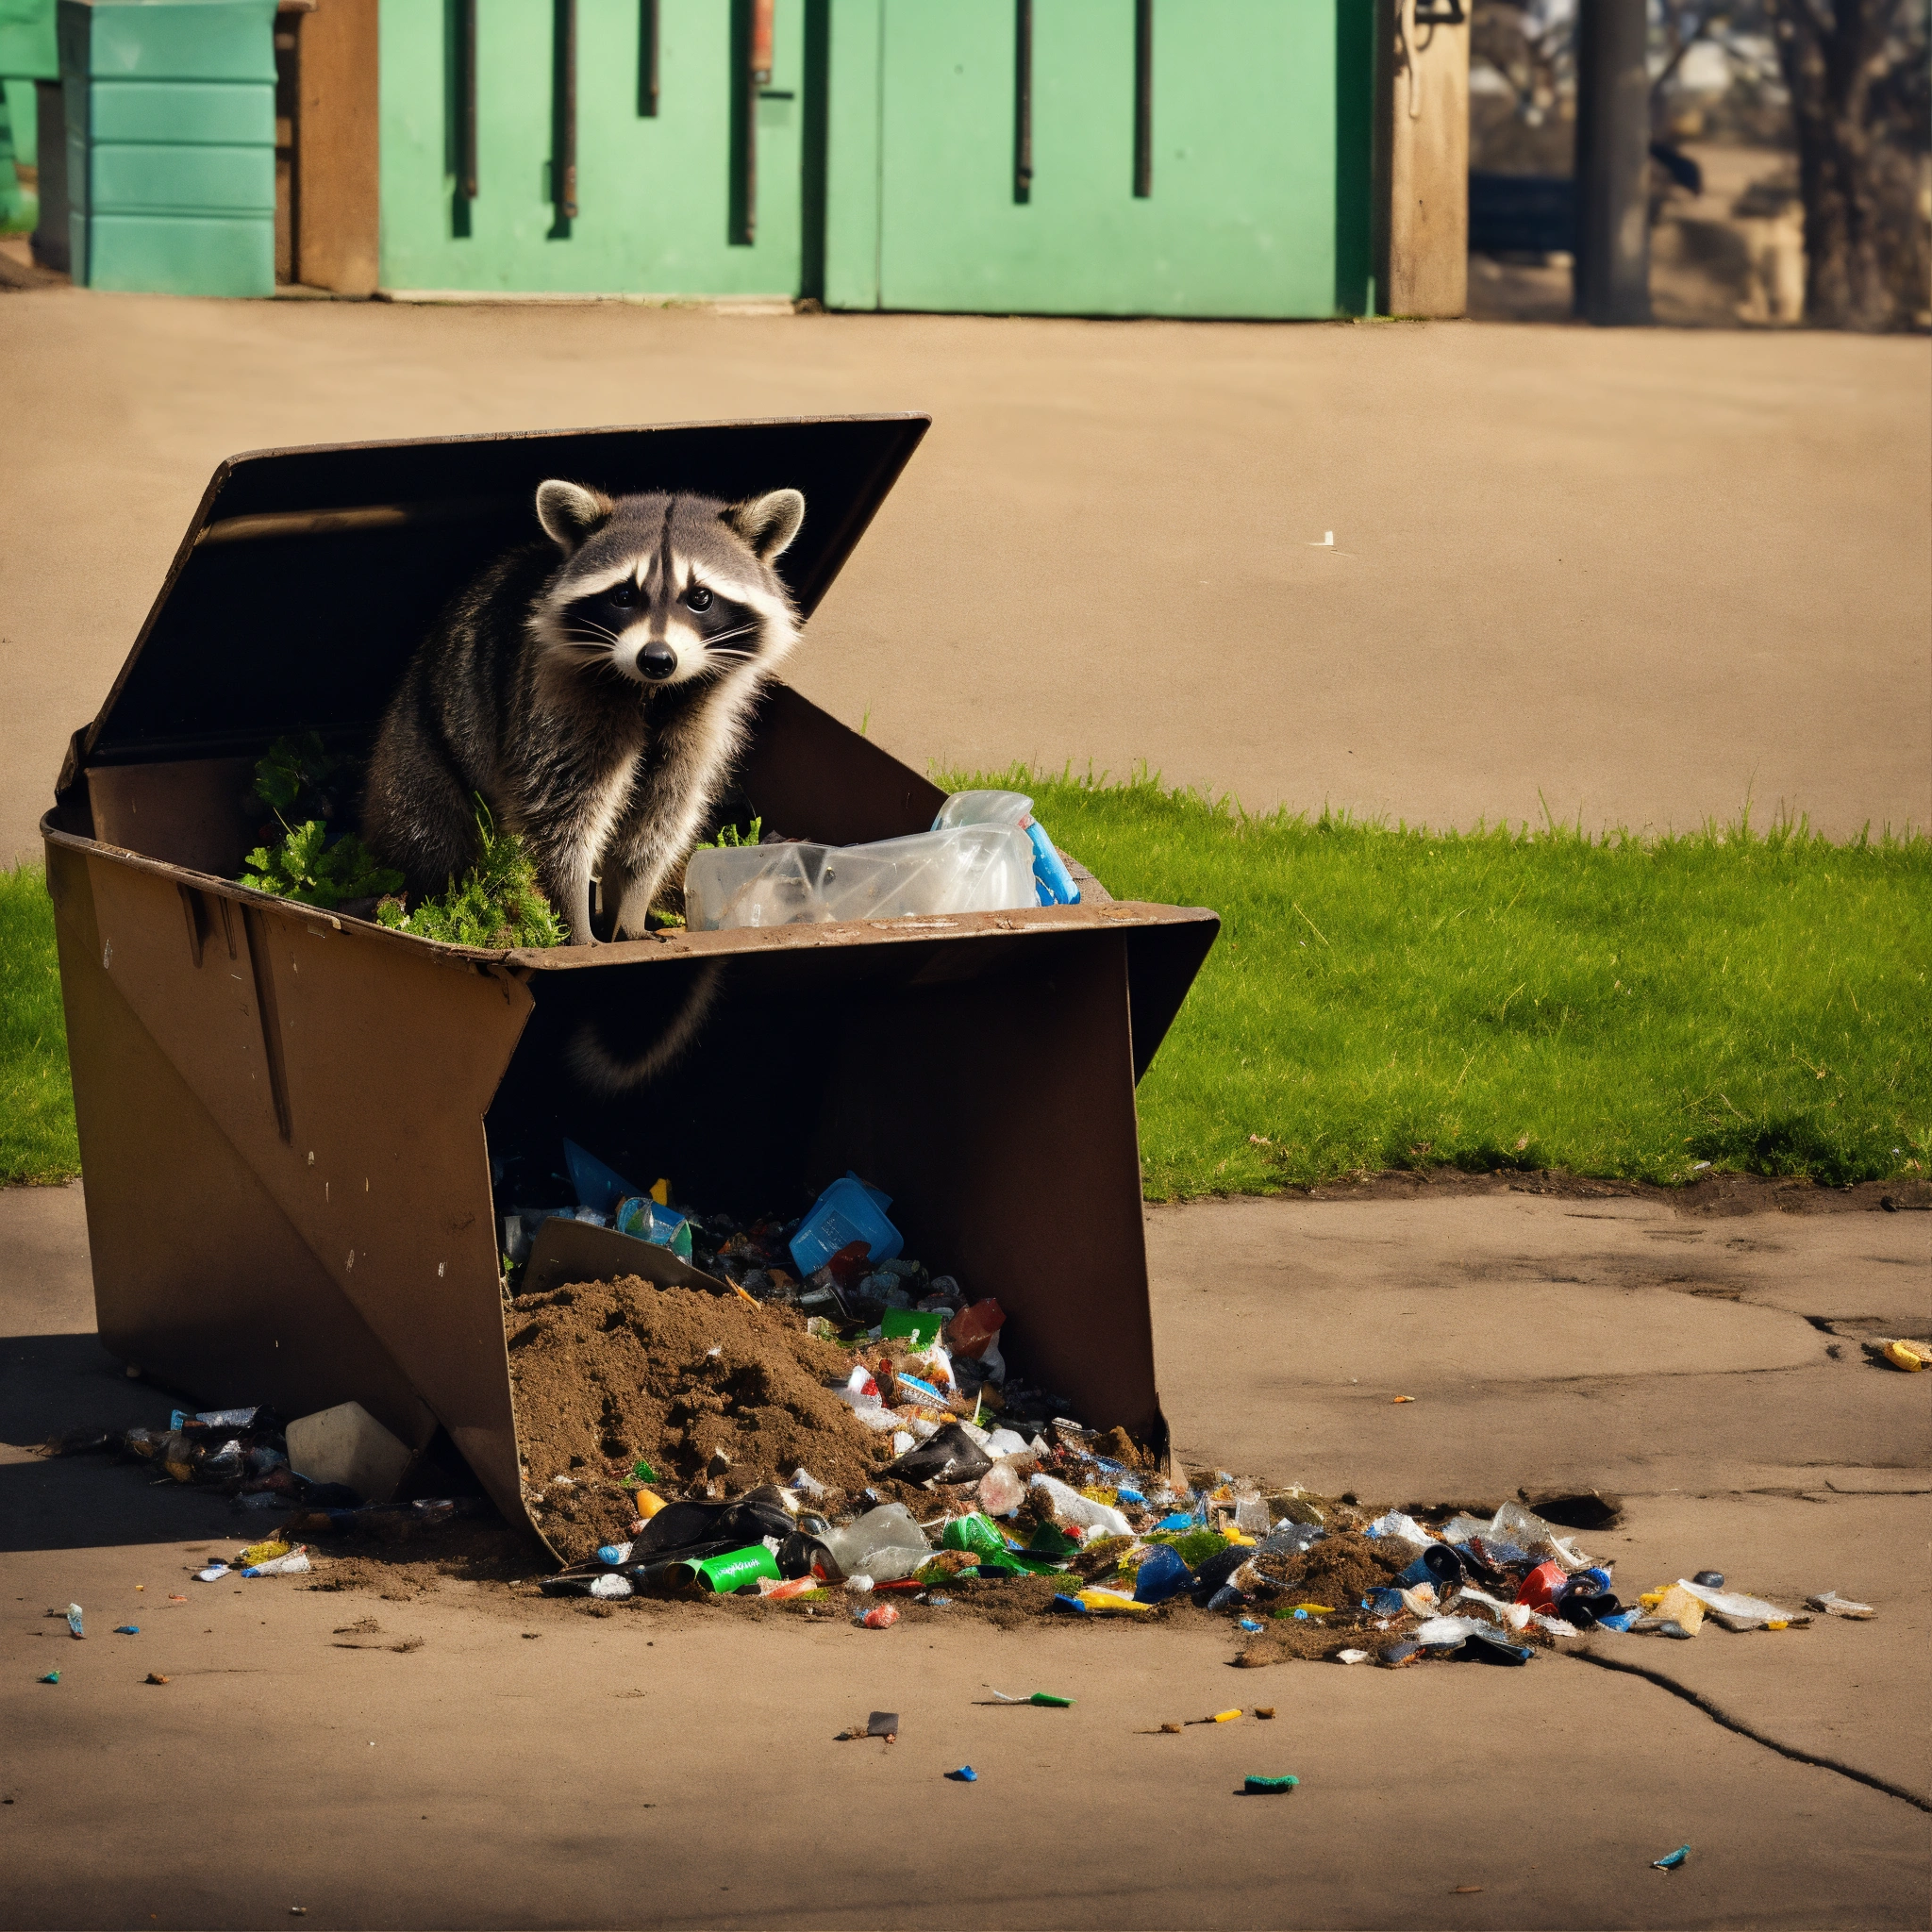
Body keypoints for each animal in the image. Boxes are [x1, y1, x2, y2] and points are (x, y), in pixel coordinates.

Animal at [361, 481, 805, 946]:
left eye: (700, 597)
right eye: (624, 595)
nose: (657, 659)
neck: (652, 691)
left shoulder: (700, 722)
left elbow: (659, 821)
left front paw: (631, 910)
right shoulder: (553, 702)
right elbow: (561, 820)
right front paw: (574, 918)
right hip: (416, 750)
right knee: (432, 832)